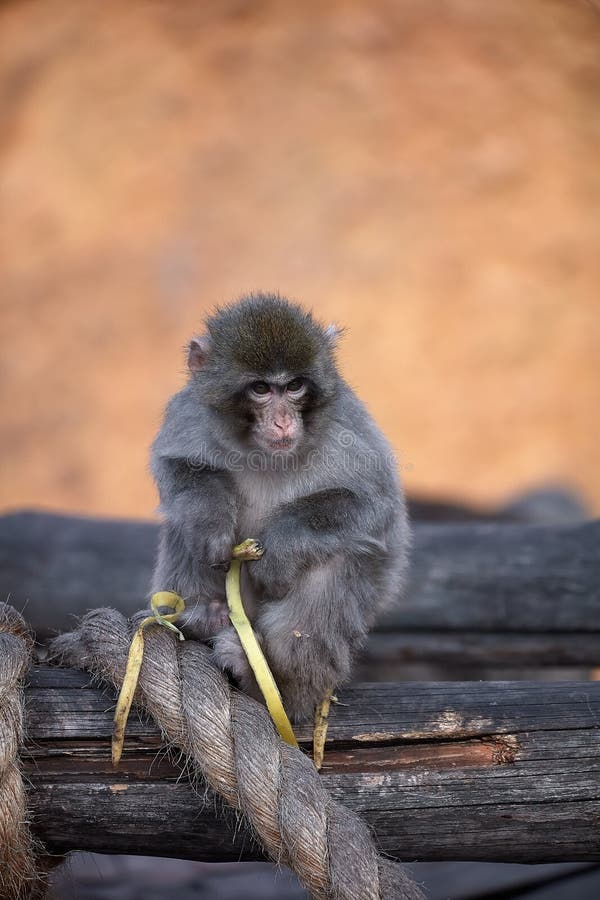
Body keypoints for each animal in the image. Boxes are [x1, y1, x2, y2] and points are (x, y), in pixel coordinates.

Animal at [150, 293, 410, 721]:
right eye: (260, 389)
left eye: (294, 386)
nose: (284, 422)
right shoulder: (191, 410)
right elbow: (177, 466)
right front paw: (210, 522)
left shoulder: (348, 426)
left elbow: (375, 507)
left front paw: (279, 550)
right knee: (181, 523)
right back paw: (203, 618)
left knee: (335, 564)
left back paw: (278, 686)